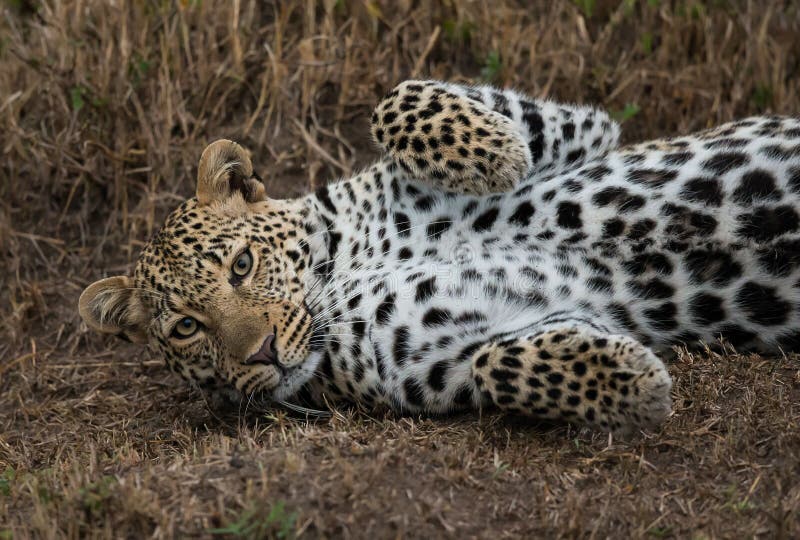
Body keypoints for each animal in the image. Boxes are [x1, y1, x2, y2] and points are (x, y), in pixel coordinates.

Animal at [79, 80, 800, 435]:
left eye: (241, 265)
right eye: (186, 327)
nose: (261, 355)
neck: (341, 264)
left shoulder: (584, 132)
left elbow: (401, 96)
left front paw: (492, 152)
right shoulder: (436, 356)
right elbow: (498, 362)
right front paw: (634, 382)